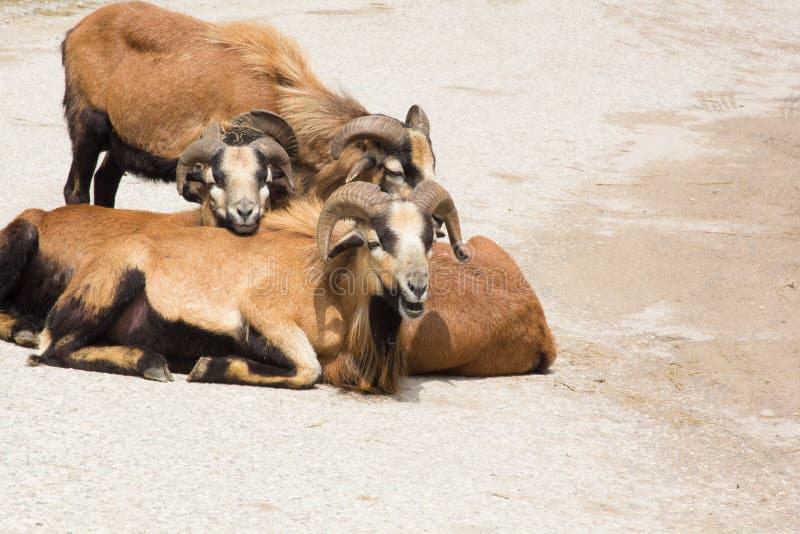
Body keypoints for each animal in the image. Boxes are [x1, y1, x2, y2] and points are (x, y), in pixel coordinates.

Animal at [0, 114, 296, 348]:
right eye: (215, 180)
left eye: (264, 178)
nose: (245, 212)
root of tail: (42, 215)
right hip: (23, 237)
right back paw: (24, 331)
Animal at [28, 181, 470, 393]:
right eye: (376, 241)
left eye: (429, 240)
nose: (416, 290)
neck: (333, 296)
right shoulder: (265, 315)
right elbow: (307, 371)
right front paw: (207, 365)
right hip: (112, 286)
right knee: (54, 350)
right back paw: (152, 363)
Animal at [62, 1, 436, 206]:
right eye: (394, 170)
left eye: (433, 165)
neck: (281, 96)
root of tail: (75, 32)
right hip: (87, 126)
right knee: (76, 191)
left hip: (122, 145)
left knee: (104, 184)